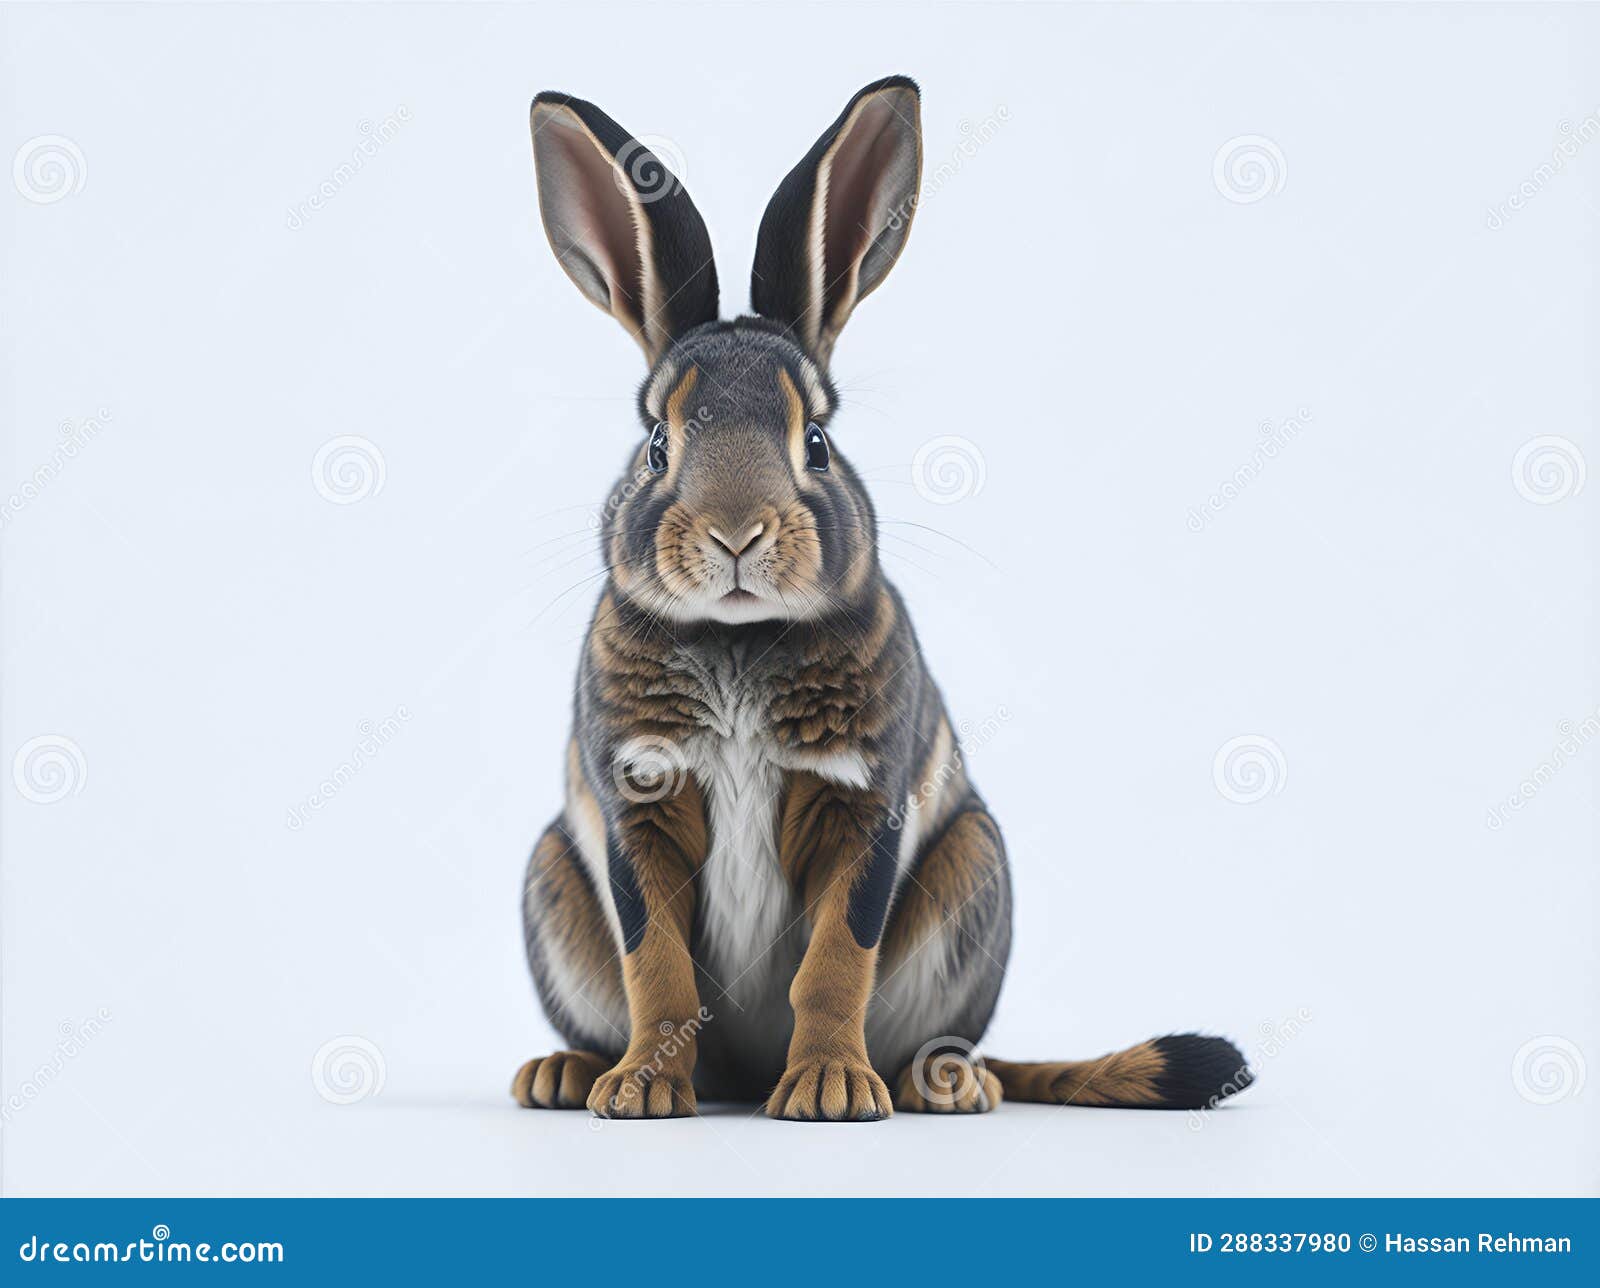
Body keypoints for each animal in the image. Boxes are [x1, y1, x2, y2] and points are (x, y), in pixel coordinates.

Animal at [512, 76, 1252, 1120]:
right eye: (657, 444)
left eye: (816, 440)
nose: (735, 533)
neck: (739, 641)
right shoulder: (638, 803)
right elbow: (656, 967)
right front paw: (643, 1093)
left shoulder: (864, 806)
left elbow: (835, 962)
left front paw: (829, 1089)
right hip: (551, 872)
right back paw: (567, 1073)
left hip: (973, 864)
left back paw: (942, 1085)